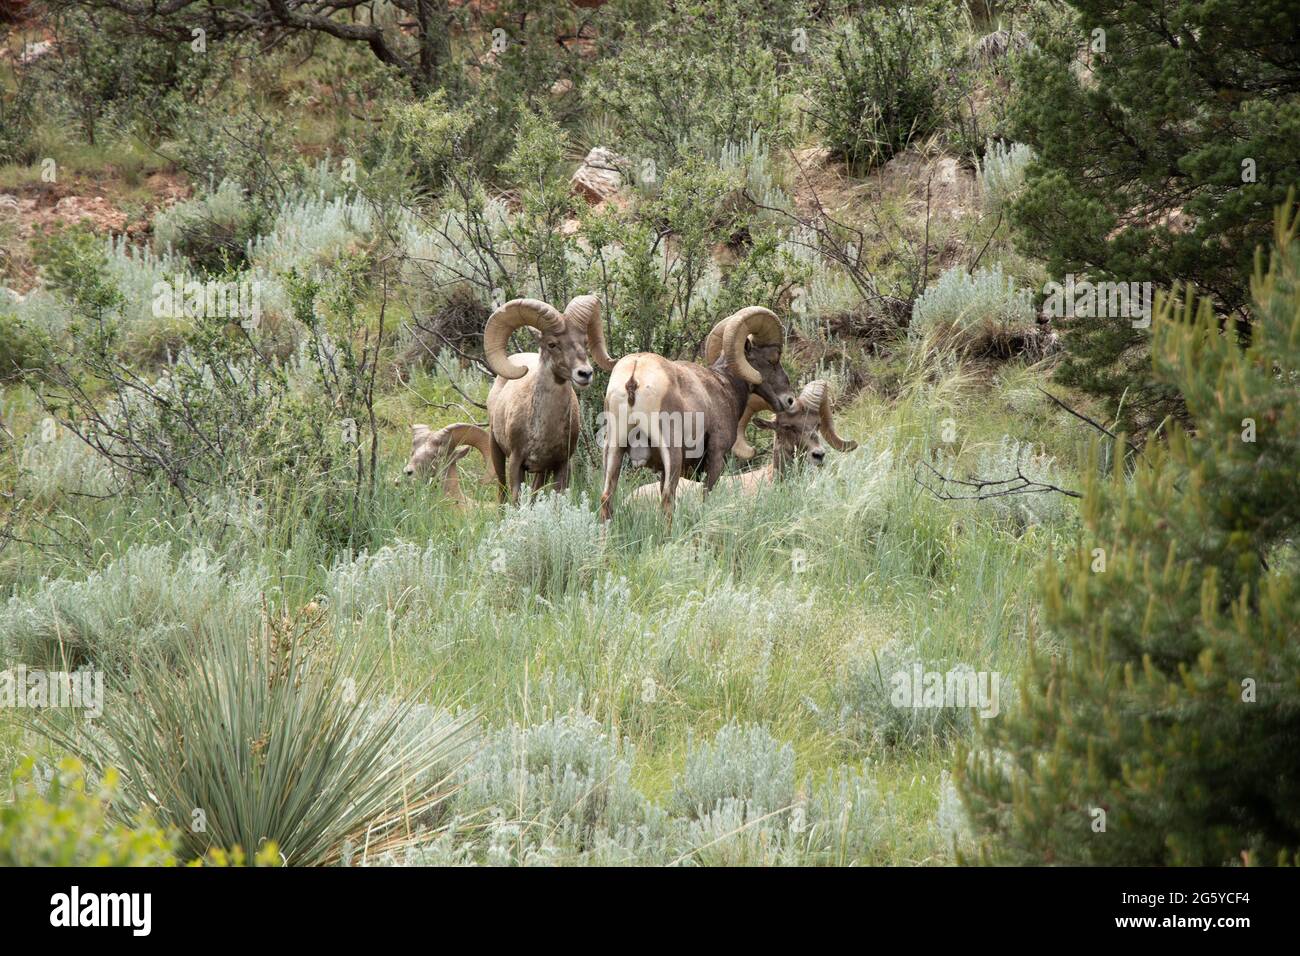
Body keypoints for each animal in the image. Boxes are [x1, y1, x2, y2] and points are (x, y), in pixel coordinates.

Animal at [482, 294, 615, 501]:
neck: (543, 429)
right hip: (496, 448)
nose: (585, 374)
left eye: (585, 342)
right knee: (502, 491)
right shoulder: (516, 463)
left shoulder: (560, 465)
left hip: (541, 472)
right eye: (552, 344)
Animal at [598, 306, 796, 522]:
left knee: (607, 498)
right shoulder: (716, 457)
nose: (789, 400)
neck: (724, 385)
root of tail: (634, 376)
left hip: (614, 447)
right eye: (773, 359)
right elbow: (706, 497)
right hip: (671, 451)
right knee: (667, 499)